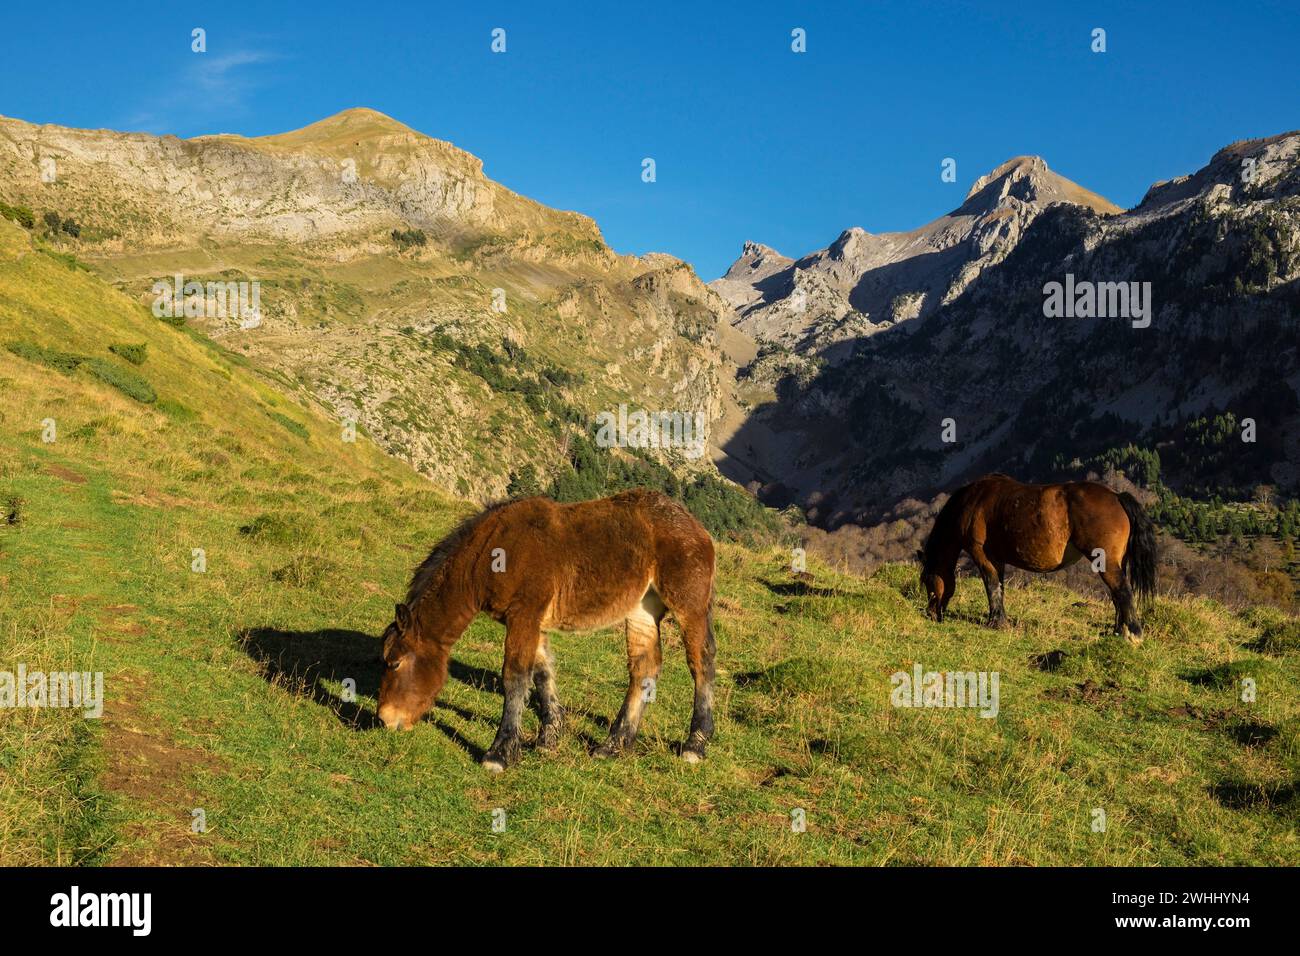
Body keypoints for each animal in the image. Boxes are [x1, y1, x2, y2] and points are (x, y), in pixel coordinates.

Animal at [376, 489, 717, 772]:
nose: (385, 719)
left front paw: (500, 753)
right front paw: (548, 738)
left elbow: (515, 678)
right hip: (642, 610)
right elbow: (541, 674)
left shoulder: (524, 616)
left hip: (688, 606)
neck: (493, 552)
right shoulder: (531, 622)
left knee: (700, 662)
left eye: (394, 663)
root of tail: (696, 526)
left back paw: (695, 744)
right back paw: (613, 745)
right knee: (644, 669)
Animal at [917, 474, 1157, 638]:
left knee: (1122, 590)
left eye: (928, 581)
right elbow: (999, 587)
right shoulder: (997, 558)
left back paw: (1133, 634)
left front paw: (995, 623)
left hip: (1105, 561)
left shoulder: (981, 553)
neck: (974, 500)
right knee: (1117, 594)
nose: (931, 614)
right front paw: (1001, 620)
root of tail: (1116, 496)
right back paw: (1118, 631)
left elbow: (991, 585)